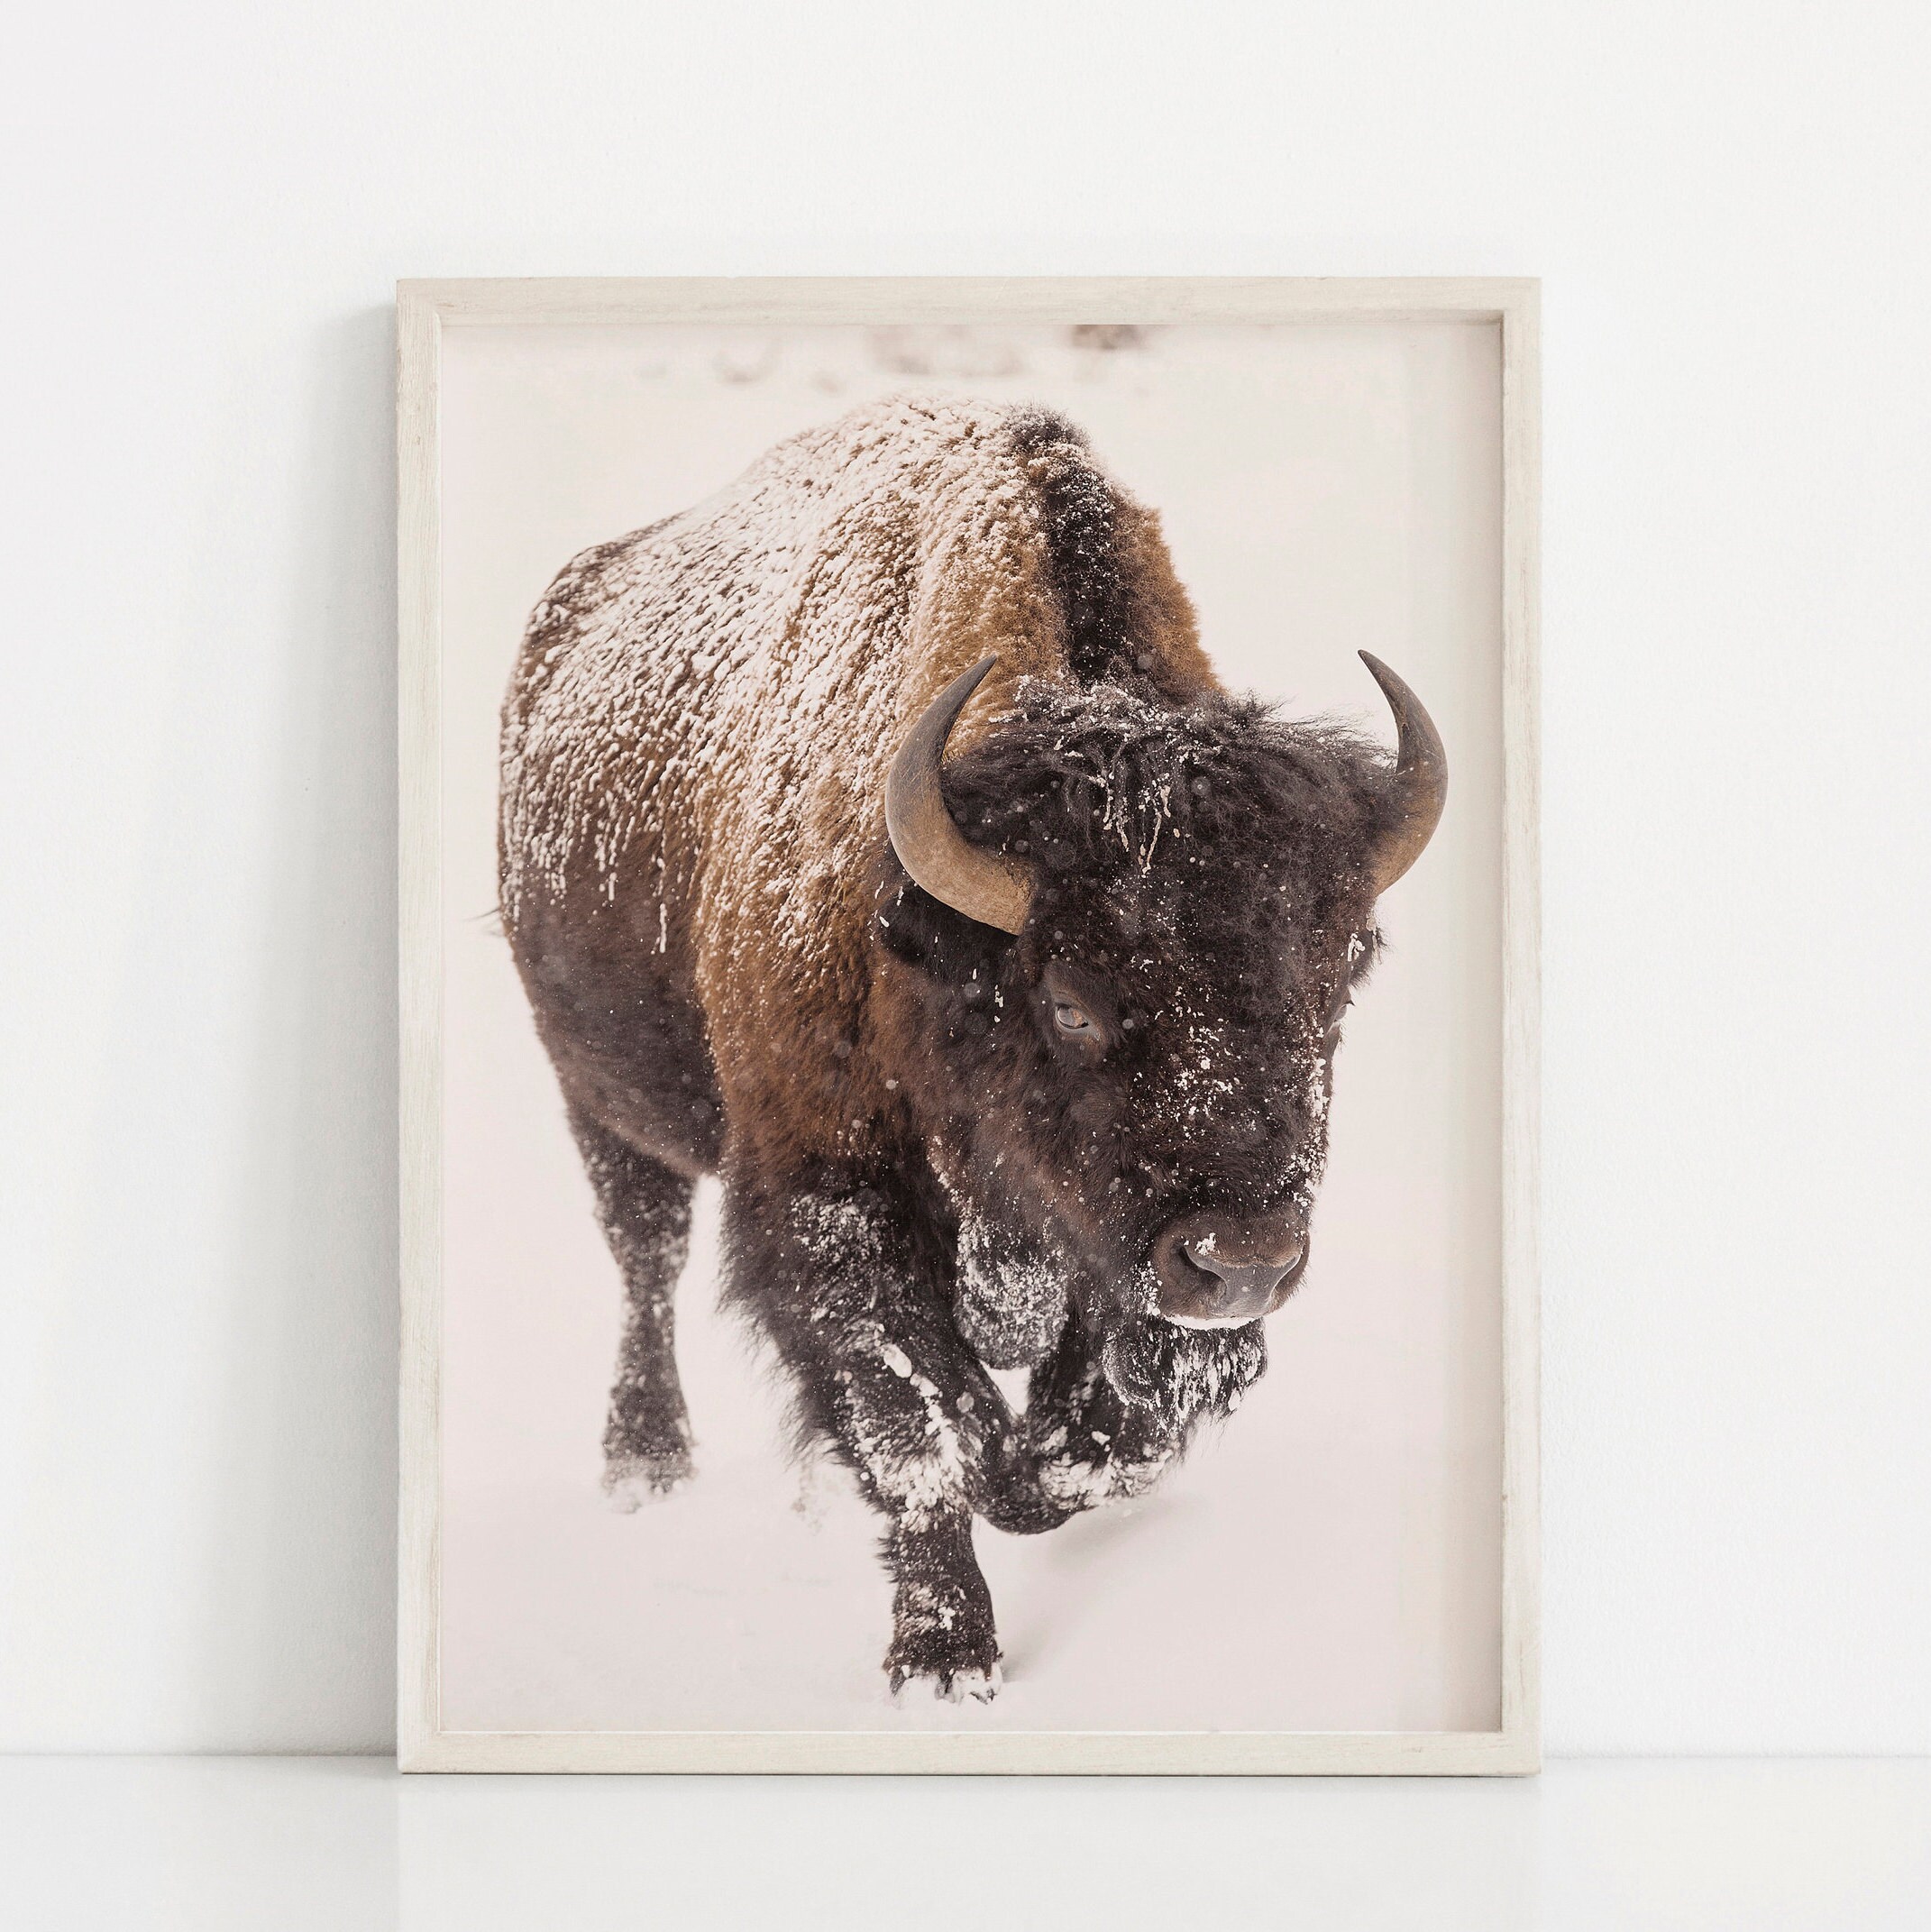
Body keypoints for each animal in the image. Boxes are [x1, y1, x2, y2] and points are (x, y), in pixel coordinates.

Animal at [499, 396, 1445, 1700]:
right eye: (1071, 999)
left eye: (1340, 970)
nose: (1244, 1259)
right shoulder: (829, 1197)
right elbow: (920, 1427)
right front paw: (943, 1656)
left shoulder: (1122, 1258)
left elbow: (1111, 1430)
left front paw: (1030, 1479)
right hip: (600, 1100)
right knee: (644, 1257)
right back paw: (644, 1464)